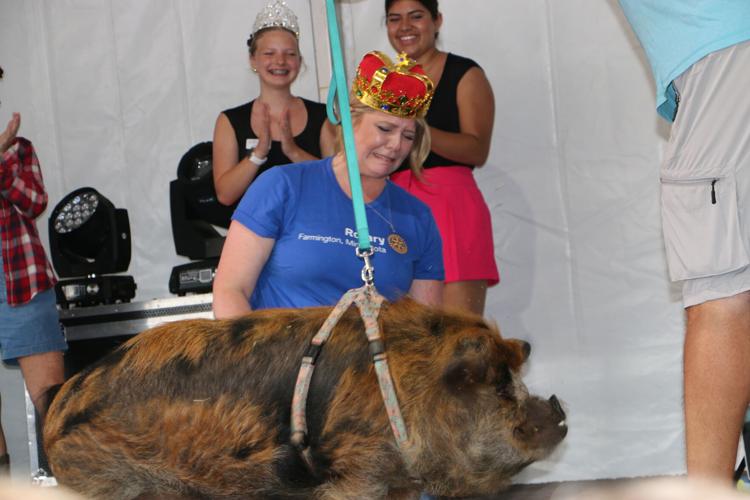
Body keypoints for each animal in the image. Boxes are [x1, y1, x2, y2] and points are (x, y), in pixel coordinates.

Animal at [44, 298, 567, 499]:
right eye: (501, 388)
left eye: (515, 378)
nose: (560, 409)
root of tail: (56, 410)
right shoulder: (358, 466)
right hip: (110, 479)